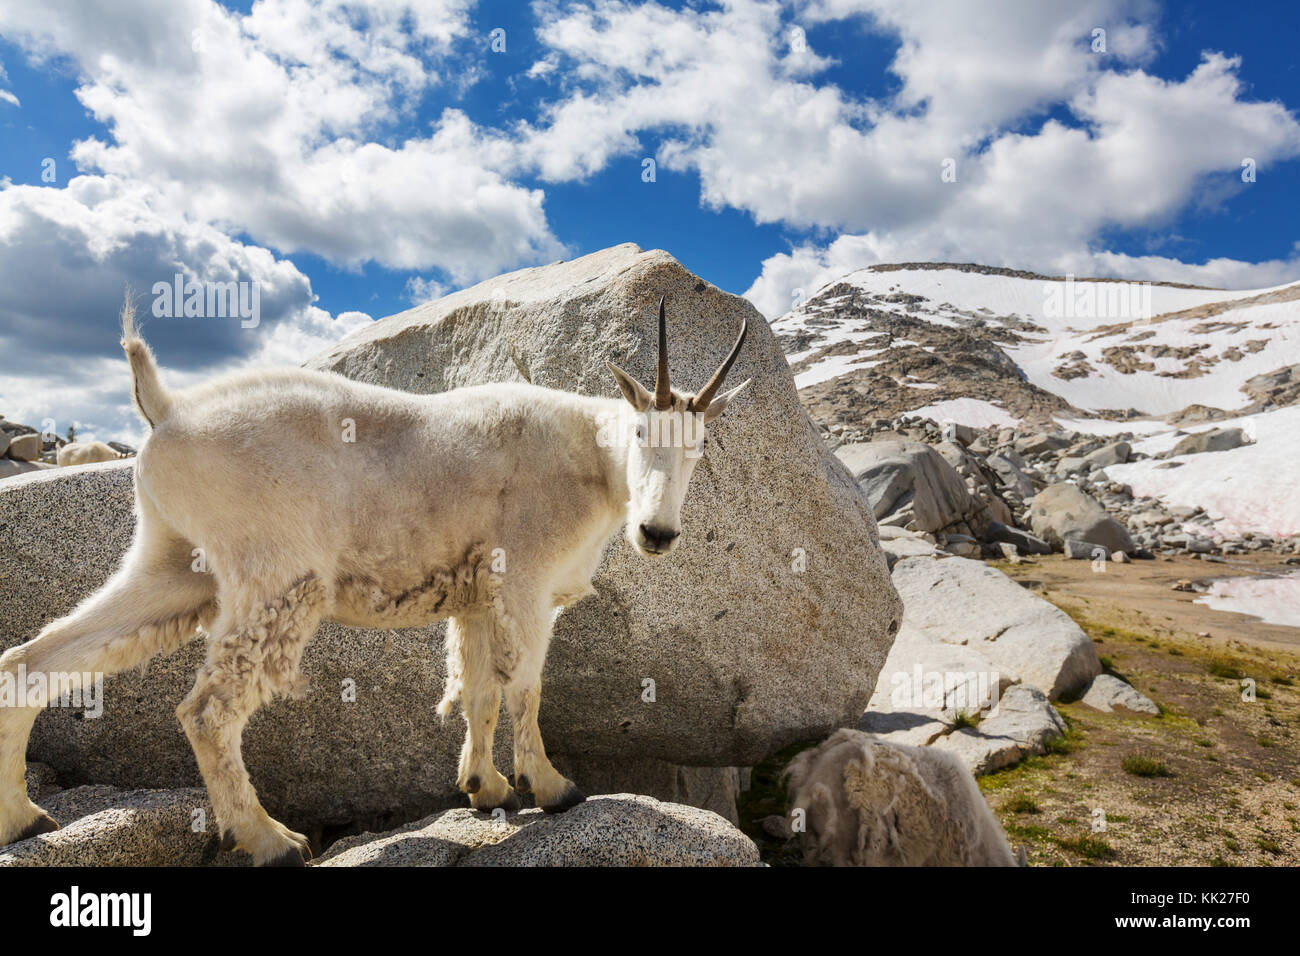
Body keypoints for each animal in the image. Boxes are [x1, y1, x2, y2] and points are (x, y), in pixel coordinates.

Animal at [0, 295, 749, 865]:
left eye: (699, 448)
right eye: (640, 433)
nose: (658, 533)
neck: (588, 459)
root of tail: (166, 410)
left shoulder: (477, 595)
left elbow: (478, 688)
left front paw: (485, 788)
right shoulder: (526, 584)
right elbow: (526, 687)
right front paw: (552, 787)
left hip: (173, 564)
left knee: (37, 659)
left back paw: (25, 817)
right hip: (275, 576)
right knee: (208, 710)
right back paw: (271, 840)